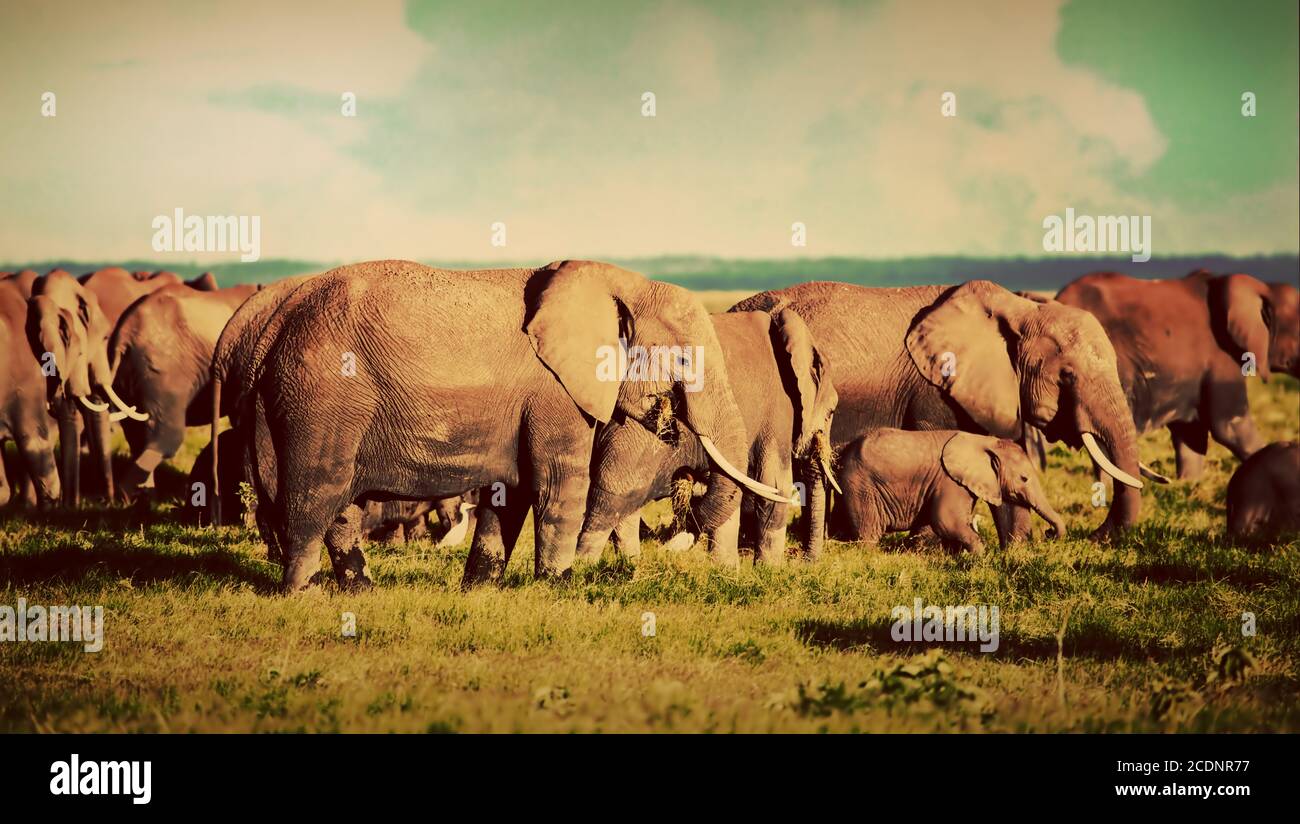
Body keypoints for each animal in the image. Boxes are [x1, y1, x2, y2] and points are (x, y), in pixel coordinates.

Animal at [109, 282, 258, 501]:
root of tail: (123, 335)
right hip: (164, 374)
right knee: (165, 438)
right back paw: (132, 495)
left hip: (128, 377)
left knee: (137, 435)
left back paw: (141, 496)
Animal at [209, 260, 784, 592]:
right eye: (684, 362)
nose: (688, 489)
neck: (612, 279)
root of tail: (271, 326)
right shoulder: (556, 392)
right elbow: (557, 486)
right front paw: (559, 588)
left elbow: (512, 492)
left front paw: (482, 588)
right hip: (323, 397)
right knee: (317, 490)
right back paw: (301, 594)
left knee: (341, 503)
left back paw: (359, 590)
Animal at [575, 307, 836, 565]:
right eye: (831, 412)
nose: (805, 561)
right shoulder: (778, 409)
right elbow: (774, 486)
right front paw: (765, 570)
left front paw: (726, 569)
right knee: (617, 490)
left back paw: (630, 562)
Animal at [830, 429, 1065, 554]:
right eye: (1024, 478)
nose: (1049, 533)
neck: (985, 441)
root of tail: (842, 451)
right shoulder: (950, 481)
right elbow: (946, 521)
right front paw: (981, 557)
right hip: (860, 485)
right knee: (868, 533)